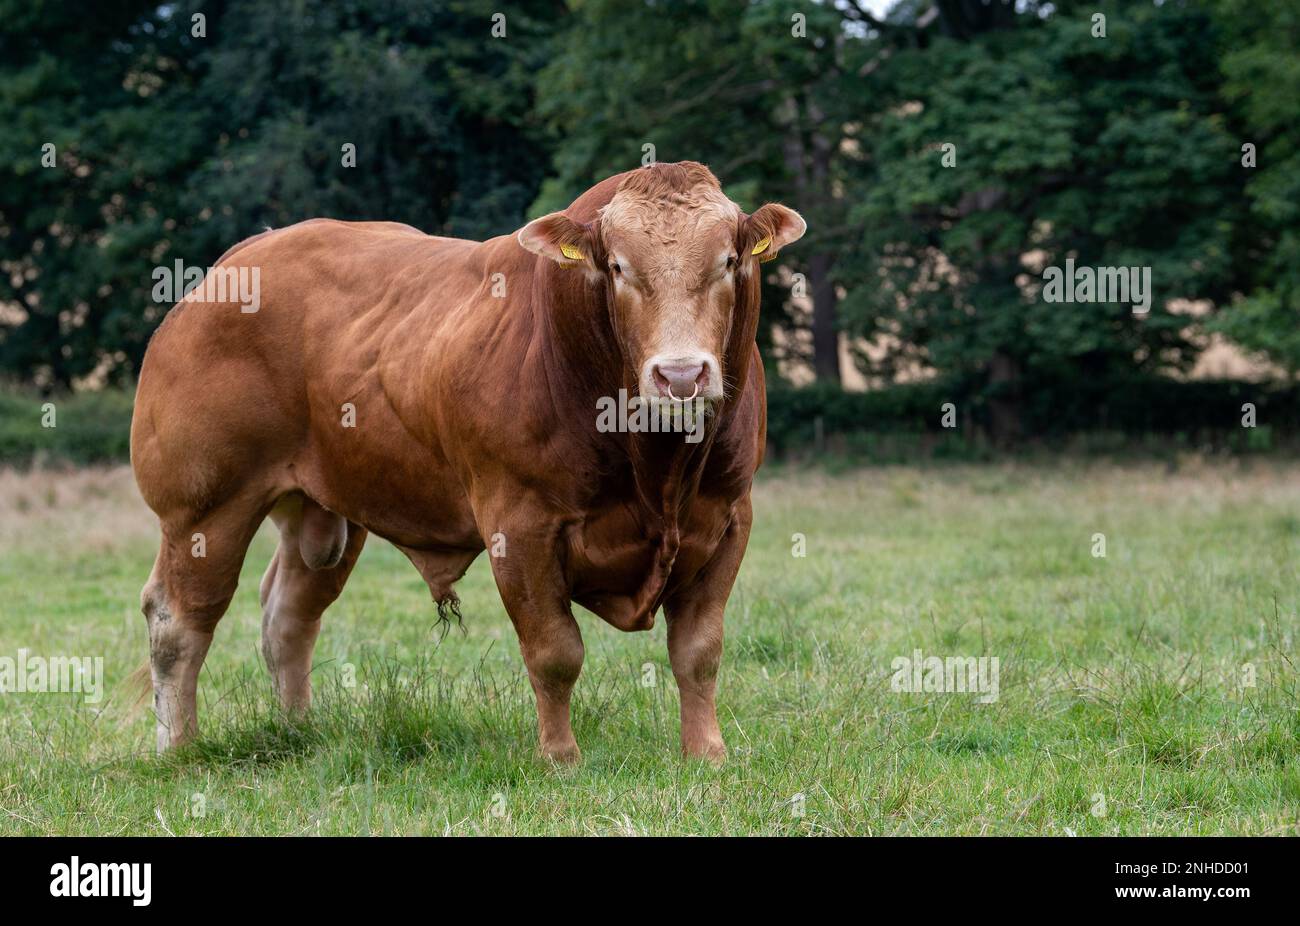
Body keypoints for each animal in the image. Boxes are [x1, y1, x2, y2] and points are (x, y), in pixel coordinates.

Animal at [130, 161, 805, 762]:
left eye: (727, 262)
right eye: (618, 267)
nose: (681, 376)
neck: (655, 466)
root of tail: (237, 261)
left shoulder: (727, 518)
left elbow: (698, 651)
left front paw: (707, 753)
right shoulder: (521, 526)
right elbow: (554, 652)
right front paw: (560, 757)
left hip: (324, 513)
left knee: (289, 617)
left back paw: (299, 730)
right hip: (206, 509)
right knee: (179, 623)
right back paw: (178, 748)